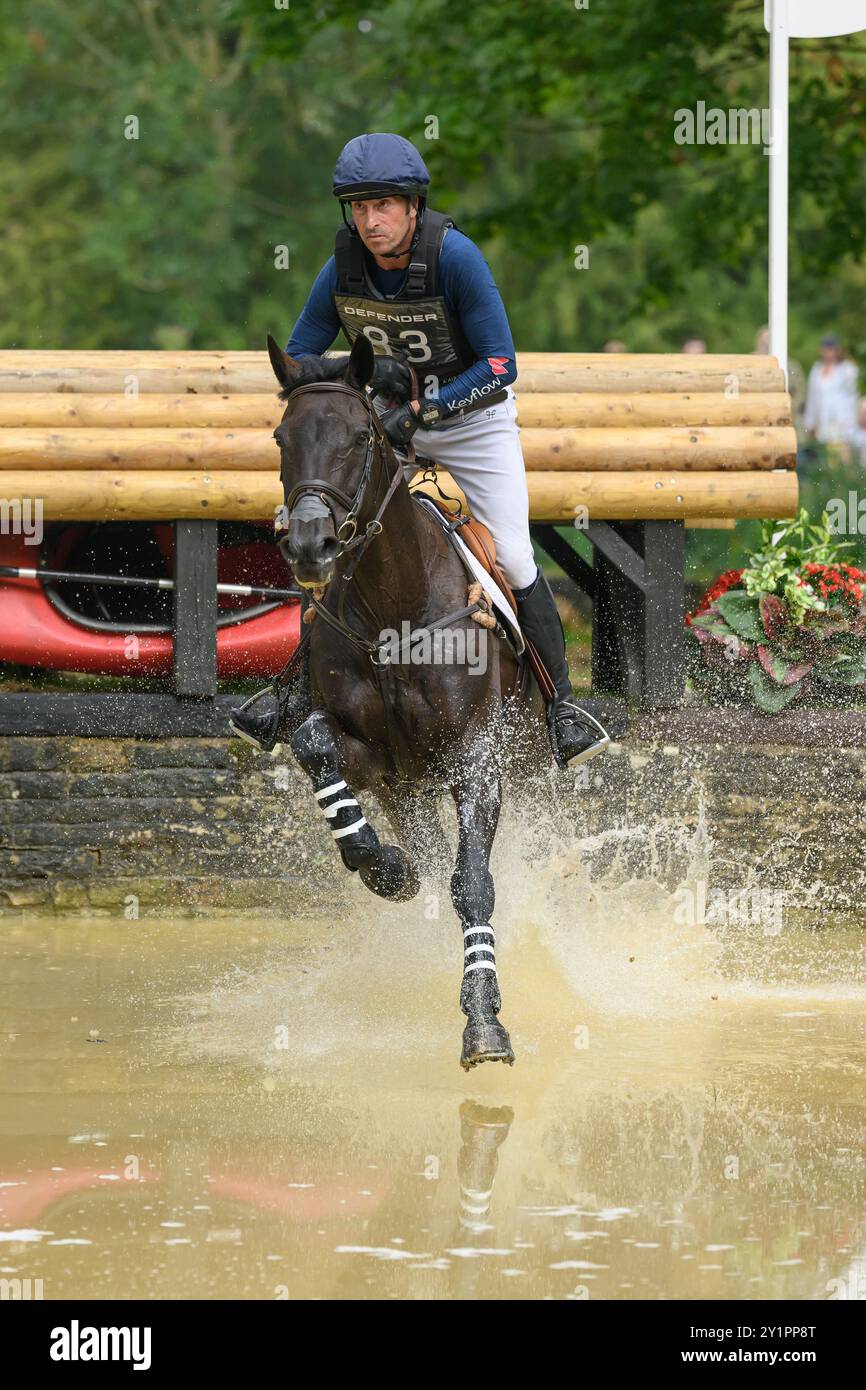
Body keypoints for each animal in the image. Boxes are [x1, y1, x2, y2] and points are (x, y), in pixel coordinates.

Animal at [267, 331, 546, 1070]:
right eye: (280, 437)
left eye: (361, 436)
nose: (309, 545)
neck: (392, 604)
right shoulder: (374, 761)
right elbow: (315, 748)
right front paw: (385, 869)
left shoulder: (476, 761)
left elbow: (472, 881)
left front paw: (484, 1021)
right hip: (408, 792)